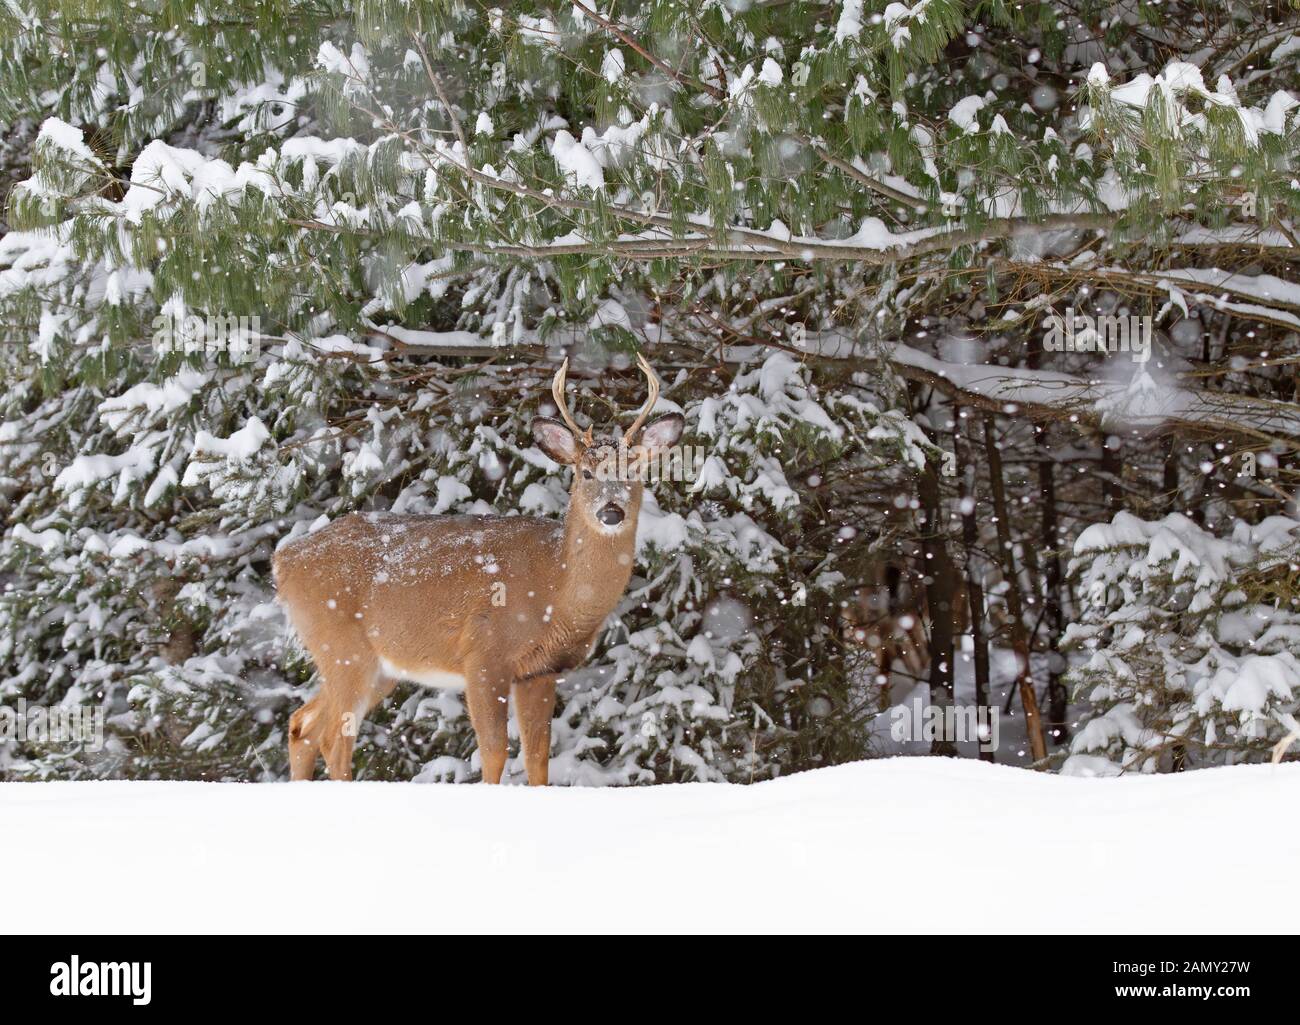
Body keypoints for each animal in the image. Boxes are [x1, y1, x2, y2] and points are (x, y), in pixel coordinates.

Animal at [273, 355, 684, 784]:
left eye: (634, 472)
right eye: (585, 473)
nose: (611, 512)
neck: (555, 588)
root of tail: (284, 561)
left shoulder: (539, 671)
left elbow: (538, 758)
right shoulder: (485, 653)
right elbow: (494, 751)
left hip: (373, 665)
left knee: (302, 724)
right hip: (343, 648)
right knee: (333, 740)